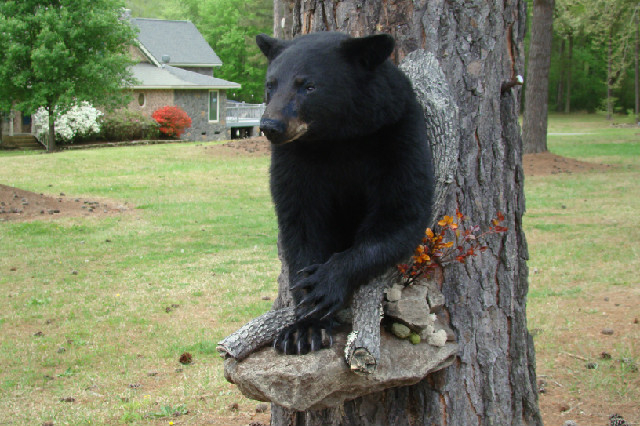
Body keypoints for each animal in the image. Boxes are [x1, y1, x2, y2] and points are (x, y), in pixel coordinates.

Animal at [256, 31, 435, 355]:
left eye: (309, 85)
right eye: (270, 84)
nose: (270, 126)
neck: (337, 139)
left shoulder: (397, 133)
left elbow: (401, 212)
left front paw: (326, 283)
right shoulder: (294, 158)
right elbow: (302, 223)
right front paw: (304, 328)